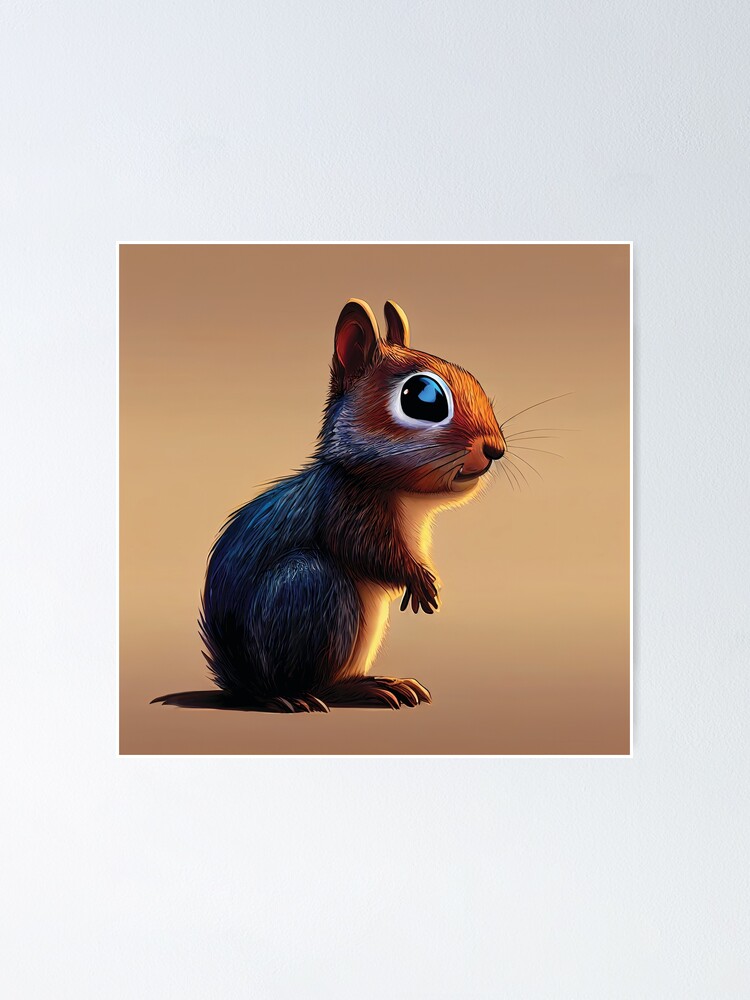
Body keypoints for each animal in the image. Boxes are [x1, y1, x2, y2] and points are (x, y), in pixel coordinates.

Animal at [194, 299, 506, 712]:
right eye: (423, 396)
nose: (495, 449)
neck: (399, 491)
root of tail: (243, 685)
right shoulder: (345, 507)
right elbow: (366, 550)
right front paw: (418, 579)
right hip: (311, 588)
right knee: (313, 683)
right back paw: (297, 696)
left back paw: (380, 684)